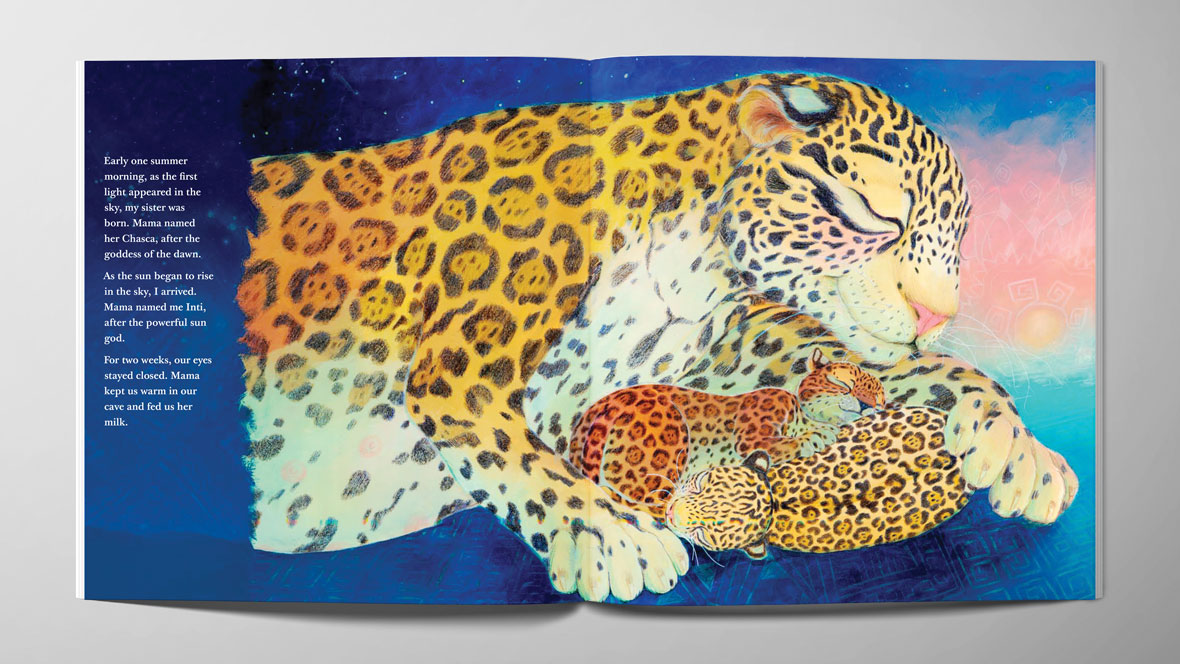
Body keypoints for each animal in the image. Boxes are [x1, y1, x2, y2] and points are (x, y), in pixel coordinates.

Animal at [567, 349, 887, 517]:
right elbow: (782, 443)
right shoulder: (753, 437)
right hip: (668, 437)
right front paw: (817, 435)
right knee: (652, 505)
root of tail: (596, 410)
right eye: (843, 383)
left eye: (879, 397)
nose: (867, 405)